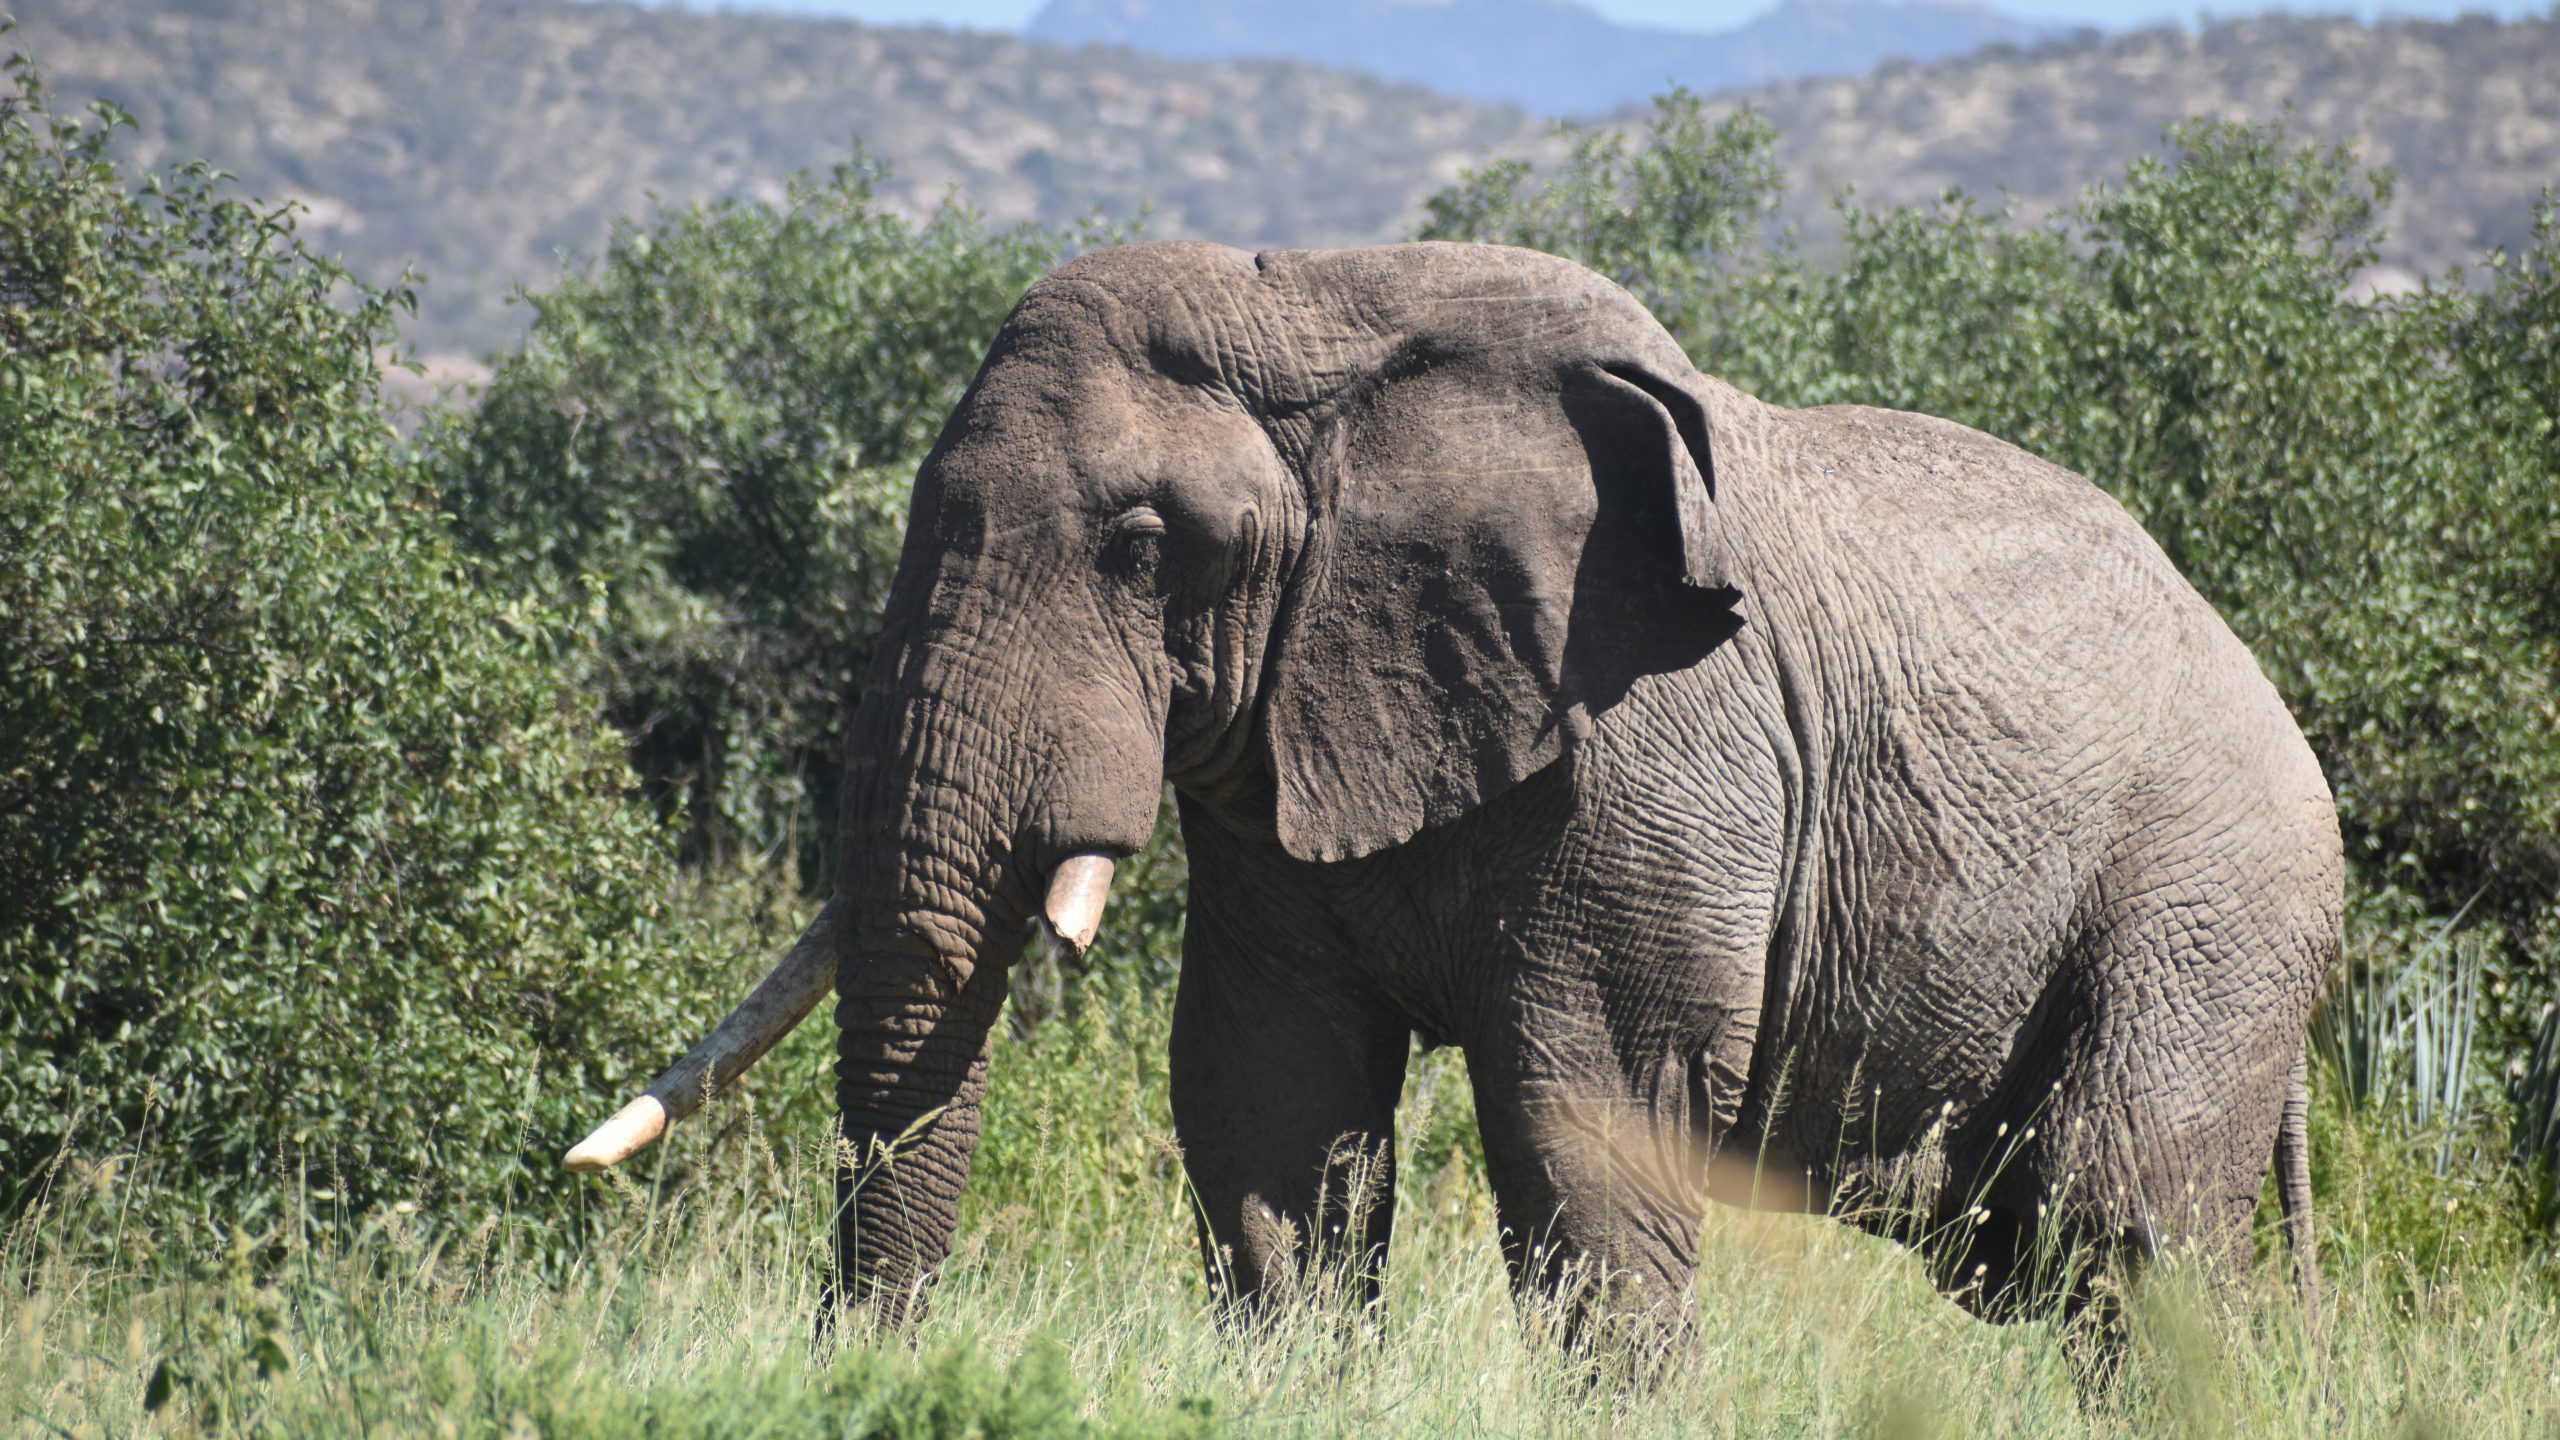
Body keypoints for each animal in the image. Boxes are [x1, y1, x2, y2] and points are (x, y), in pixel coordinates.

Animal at [567, 240, 2341, 1339]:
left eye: (1139, 551)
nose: (859, 1358)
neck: (1309, 321)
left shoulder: (1652, 749)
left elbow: (1584, 1132)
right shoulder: (1279, 748)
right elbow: (1265, 1106)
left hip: (2204, 910)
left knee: (2124, 1245)